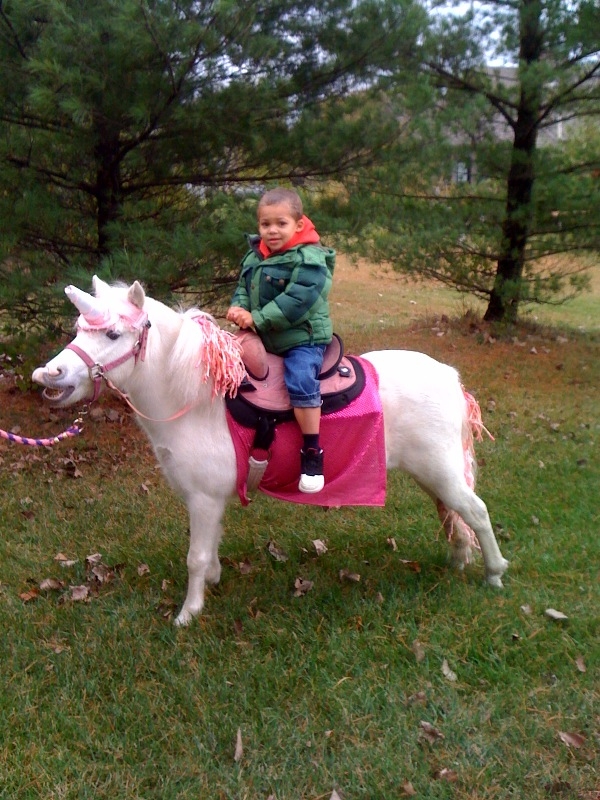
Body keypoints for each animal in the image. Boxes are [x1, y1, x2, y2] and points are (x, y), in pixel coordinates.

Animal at [32, 276, 509, 626]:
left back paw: (494, 573)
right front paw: (214, 581)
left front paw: (188, 613)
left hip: (442, 472)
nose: (49, 374)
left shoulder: (203, 499)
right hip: (433, 476)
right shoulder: (208, 501)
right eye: (78, 330)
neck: (198, 397)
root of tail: (449, 377)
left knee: (477, 512)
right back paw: (458, 559)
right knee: (452, 514)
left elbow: (195, 556)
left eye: (113, 333)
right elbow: (211, 547)